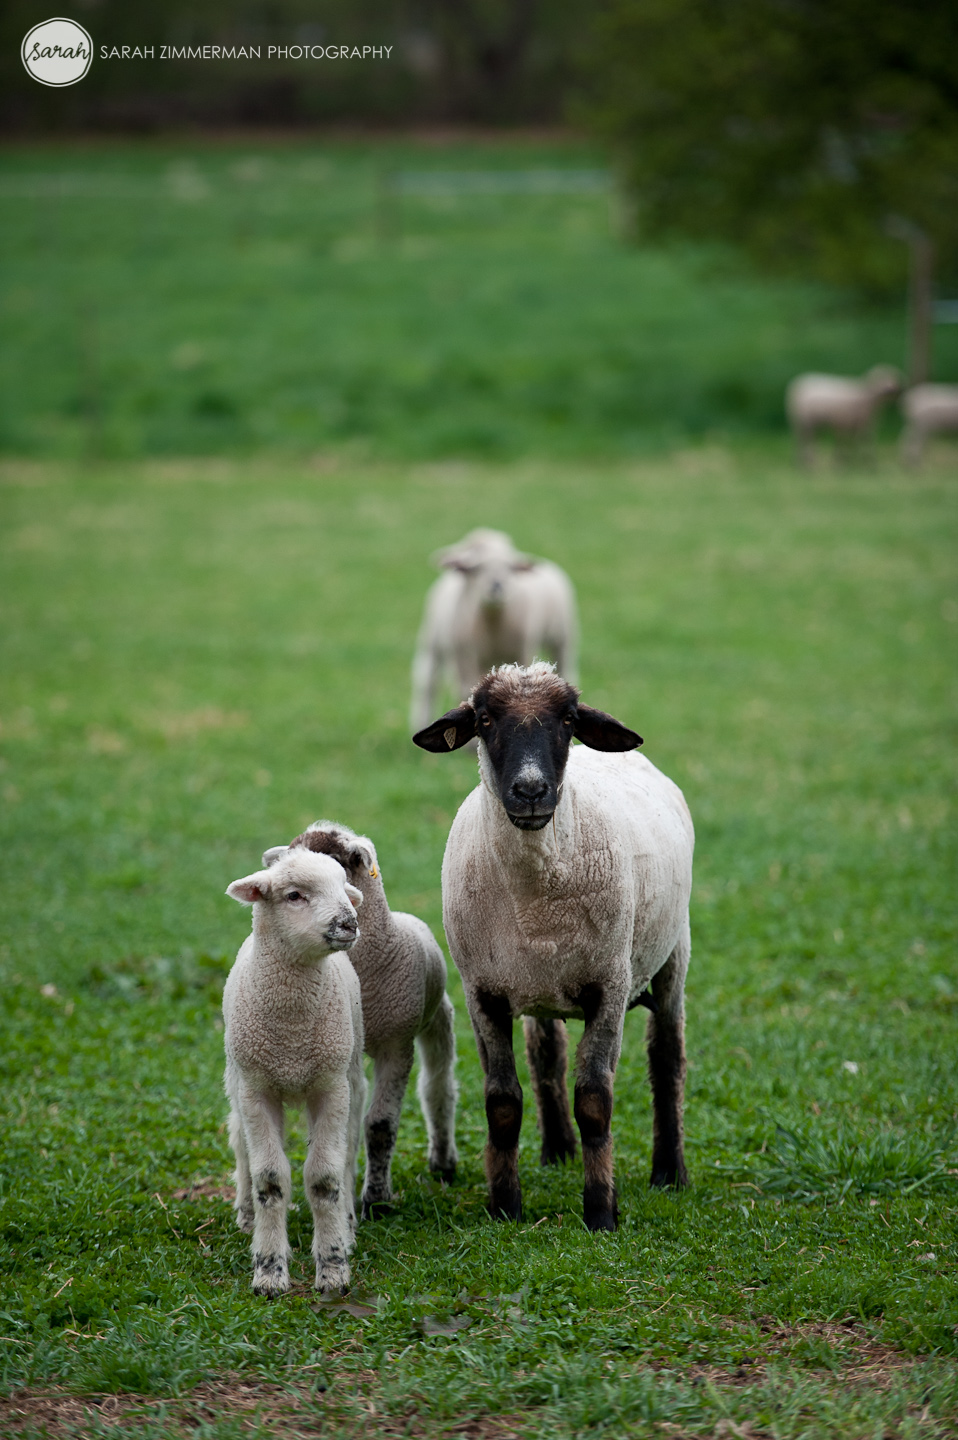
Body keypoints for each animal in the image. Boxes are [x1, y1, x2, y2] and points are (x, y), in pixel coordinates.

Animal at [224, 848, 366, 1296]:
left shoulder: (330, 1086)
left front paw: (334, 1267)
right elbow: (270, 1179)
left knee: (349, 1151)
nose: (349, 922)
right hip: (236, 1079)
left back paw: (349, 1224)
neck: (292, 1035)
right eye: (294, 895)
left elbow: (324, 1177)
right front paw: (269, 1271)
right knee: (239, 1141)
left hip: (352, 1075)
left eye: (343, 887)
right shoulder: (256, 1089)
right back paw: (246, 1213)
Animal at [263, 822, 458, 1218]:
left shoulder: (397, 1045)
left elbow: (380, 1125)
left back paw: (443, 1162)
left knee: (438, 1086)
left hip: (436, 1020)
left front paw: (378, 1199)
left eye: (335, 864)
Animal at [409, 528, 579, 733]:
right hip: (434, 640)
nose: (496, 586)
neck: (493, 623)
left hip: (562, 638)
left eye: (510, 568)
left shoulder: (522, 650)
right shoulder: (464, 654)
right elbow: (467, 694)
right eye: (476, 568)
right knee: (428, 682)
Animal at [413, 661, 694, 1232]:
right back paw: (558, 1150)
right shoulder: (484, 993)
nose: (530, 790)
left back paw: (669, 1171)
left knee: (667, 1059)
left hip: (674, 952)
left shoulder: (609, 985)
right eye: (483, 719)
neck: (533, 904)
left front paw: (601, 1210)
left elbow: (595, 1101)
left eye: (567, 719)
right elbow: (502, 1102)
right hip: (539, 984)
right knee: (547, 1055)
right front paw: (504, 1206)